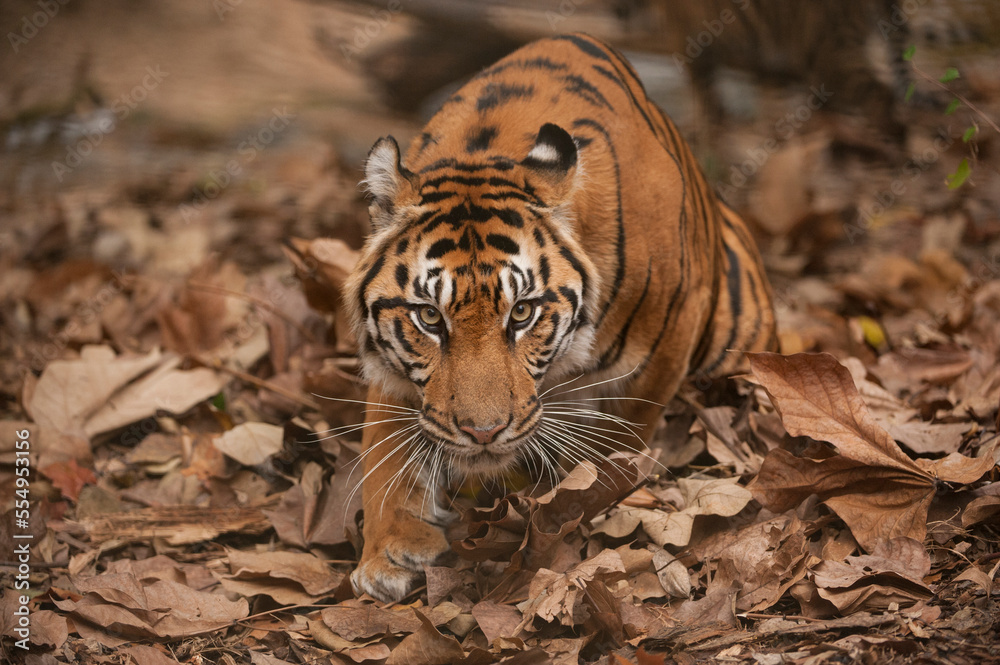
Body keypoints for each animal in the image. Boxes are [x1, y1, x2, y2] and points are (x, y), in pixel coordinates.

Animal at [344, 33, 776, 602]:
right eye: (431, 319)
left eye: (522, 312)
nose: (484, 433)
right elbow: (384, 447)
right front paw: (389, 550)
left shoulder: (670, 335)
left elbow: (624, 436)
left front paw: (596, 493)